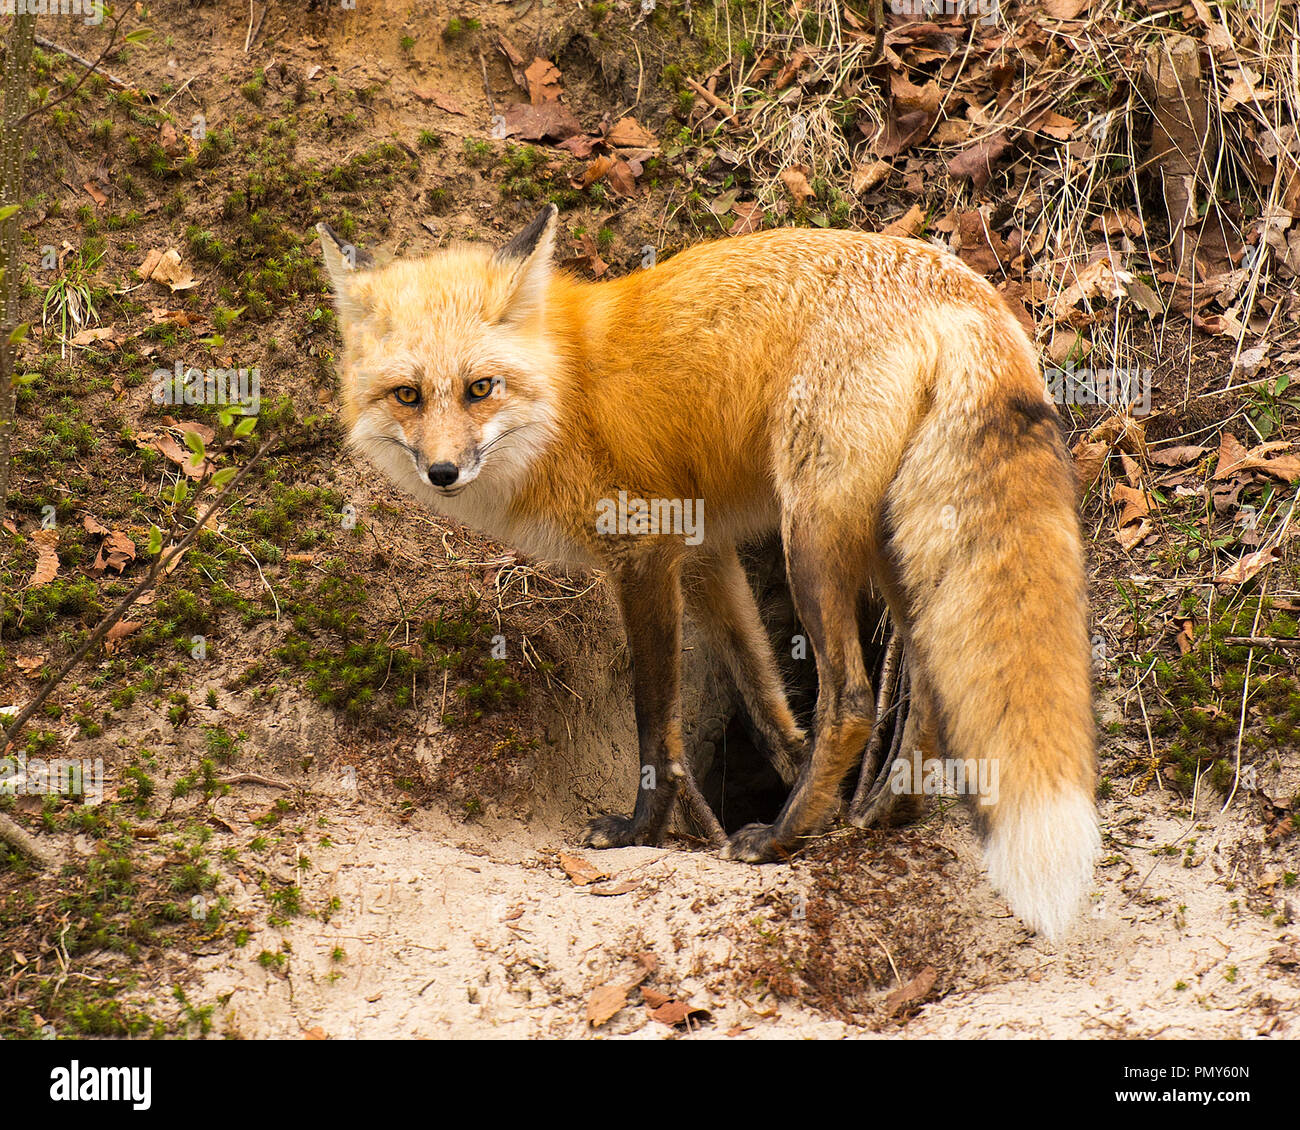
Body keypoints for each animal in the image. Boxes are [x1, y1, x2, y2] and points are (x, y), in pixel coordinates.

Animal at [317, 204, 1099, 942]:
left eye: (480, 388)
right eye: (408, 395)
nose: (443, 471)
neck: (565, 397)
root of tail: (962, 286)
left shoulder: (643, 553)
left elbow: (655, 723)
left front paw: (642, 832)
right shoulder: (704, 553)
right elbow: (761, 697)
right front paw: (801, 794)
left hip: (810, 536)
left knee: (850, 698)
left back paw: (780, 837)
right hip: (894, 545)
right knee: (929, 686)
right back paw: (878, 811)